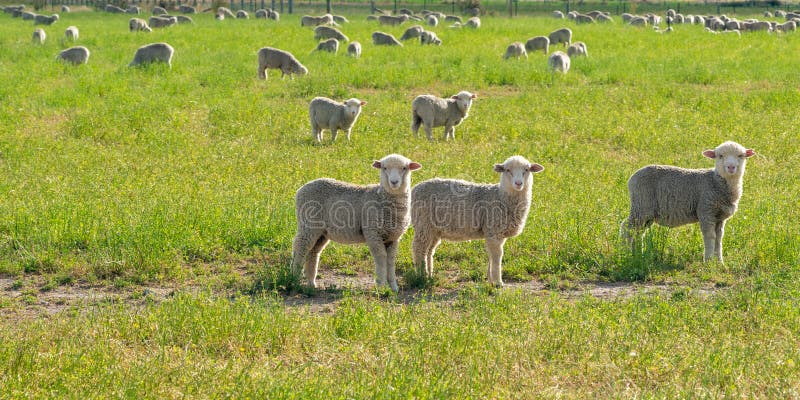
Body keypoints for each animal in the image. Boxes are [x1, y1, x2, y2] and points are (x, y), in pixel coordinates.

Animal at [291, 154, 422, 292]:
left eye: (404, 168)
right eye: (384, 168)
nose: (394, 182)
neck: (381, 198)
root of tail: (301, 189)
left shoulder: (393, 237)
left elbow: (391, 260)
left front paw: (393, 286)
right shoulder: (372, 233)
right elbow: (381, 257)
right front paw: (381, 285)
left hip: (321, 231)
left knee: (313, 252)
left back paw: (311, 283)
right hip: (308, 223)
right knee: (300, 246)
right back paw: (294, 279)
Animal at [411, 156, 544, 286]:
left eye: (526, 170)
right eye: (507, 170)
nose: (518, 183)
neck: (500, 196)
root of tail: (415, 188)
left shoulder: (496, 233)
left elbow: (492, 255)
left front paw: (491, 280)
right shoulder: (493, 230)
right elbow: (497, 256)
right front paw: (498, 282)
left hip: (434, 229)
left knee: (429, 251)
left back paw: (429, 274)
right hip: (423, 223)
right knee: (419, 248)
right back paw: (421, 276)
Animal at [622, 142, 755, 263]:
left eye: (740, 155)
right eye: (720, 156)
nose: (731, 167)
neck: (715, 181)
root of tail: (631, 178)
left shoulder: (720, 217)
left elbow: (719, 238)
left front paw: (719, 262)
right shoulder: (706, 211)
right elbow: (710, 236)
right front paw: (708, 261)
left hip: (646, 212)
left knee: (638, 232)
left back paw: (638, 254)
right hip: (642, 205)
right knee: (627, 227)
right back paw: (626, 253)